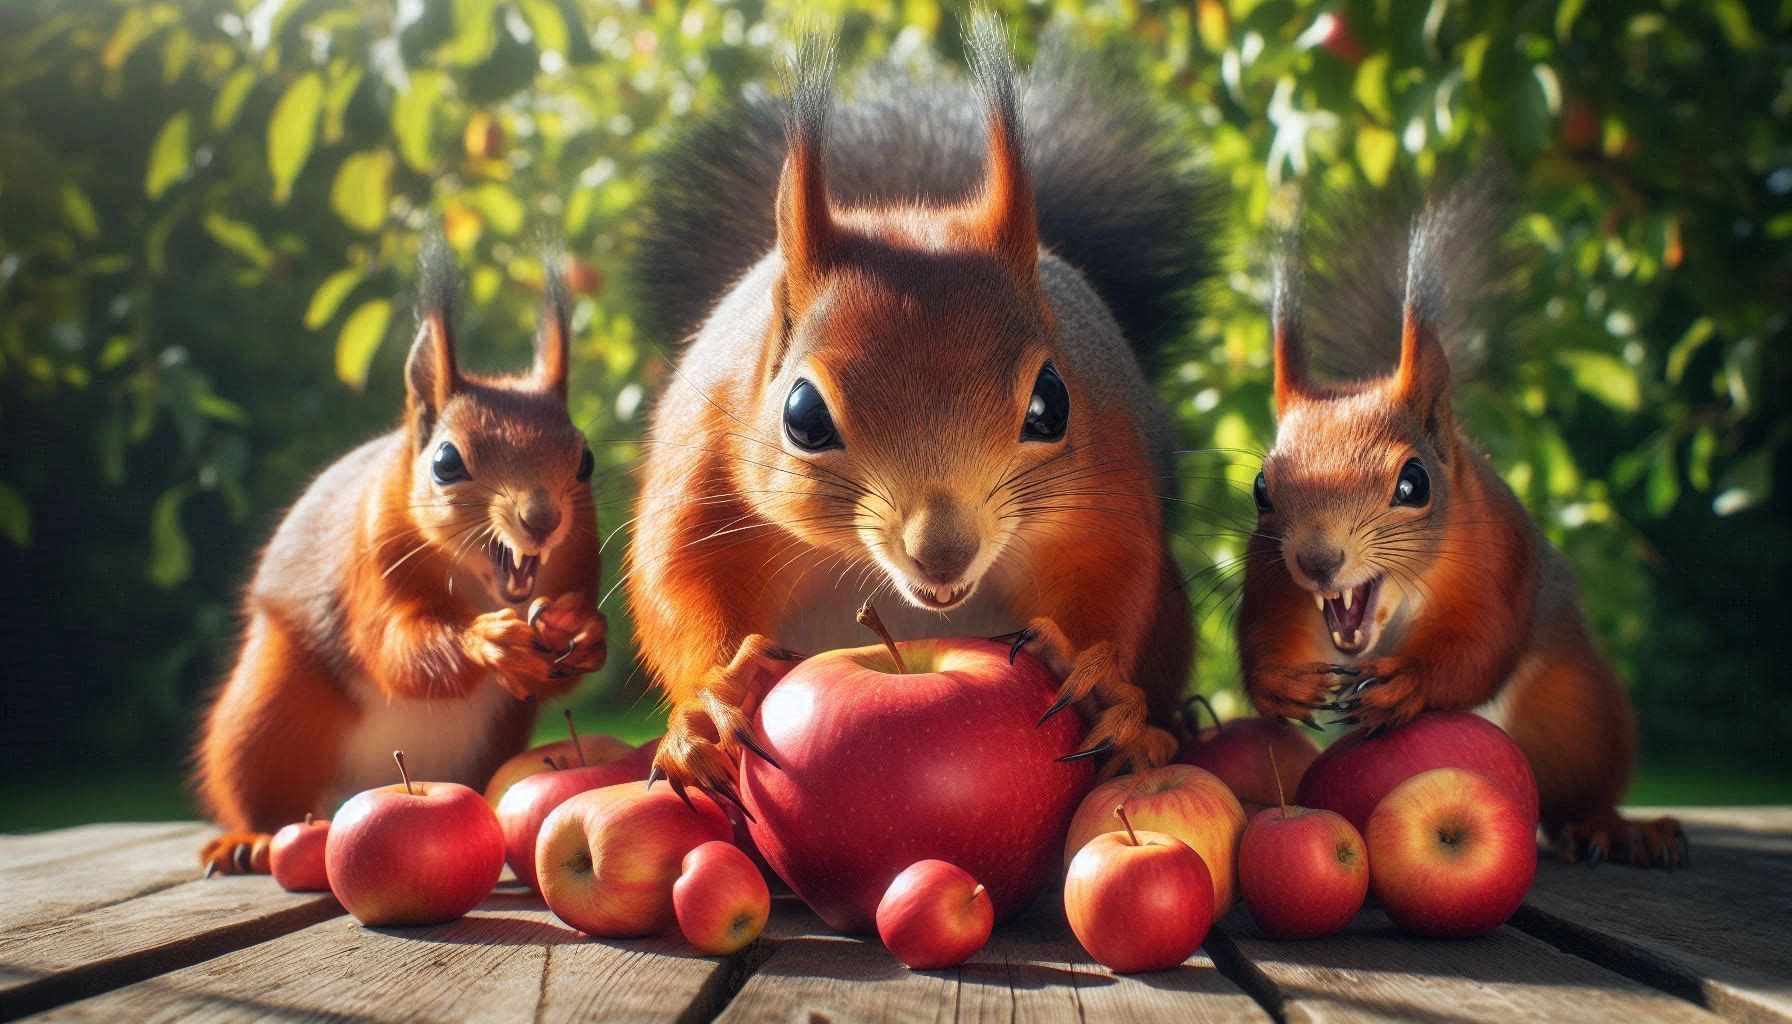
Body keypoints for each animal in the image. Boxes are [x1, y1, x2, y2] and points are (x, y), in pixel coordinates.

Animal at [193, 241, 607, 873]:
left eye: (585, 461)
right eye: (446, 463)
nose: (543, 519)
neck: (480, 586)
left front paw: (583, 629)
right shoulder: (371, 568)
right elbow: (395, 648)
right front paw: (487, 641)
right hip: (263, 716)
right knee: (257, 789)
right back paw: (249, 840)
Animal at [621, 19, 1214, 803]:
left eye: (1052, 403)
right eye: (802, 416)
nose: (943, 552)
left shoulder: (1106, 484)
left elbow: (1114, 576)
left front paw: (1097, 686)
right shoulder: (702, 470)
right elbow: (677, 587)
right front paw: (708, 709)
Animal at [1239, 190, 1687, 868]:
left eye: (1414, 484)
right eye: (1261, 489)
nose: (1317, 562)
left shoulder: (1497, 559)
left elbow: (1481, 647)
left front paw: (1408, 681)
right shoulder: (1271, 576)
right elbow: (1265, 633)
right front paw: (1279, 682)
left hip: (1578, 716)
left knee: (1576, 789)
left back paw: (1614, 827)